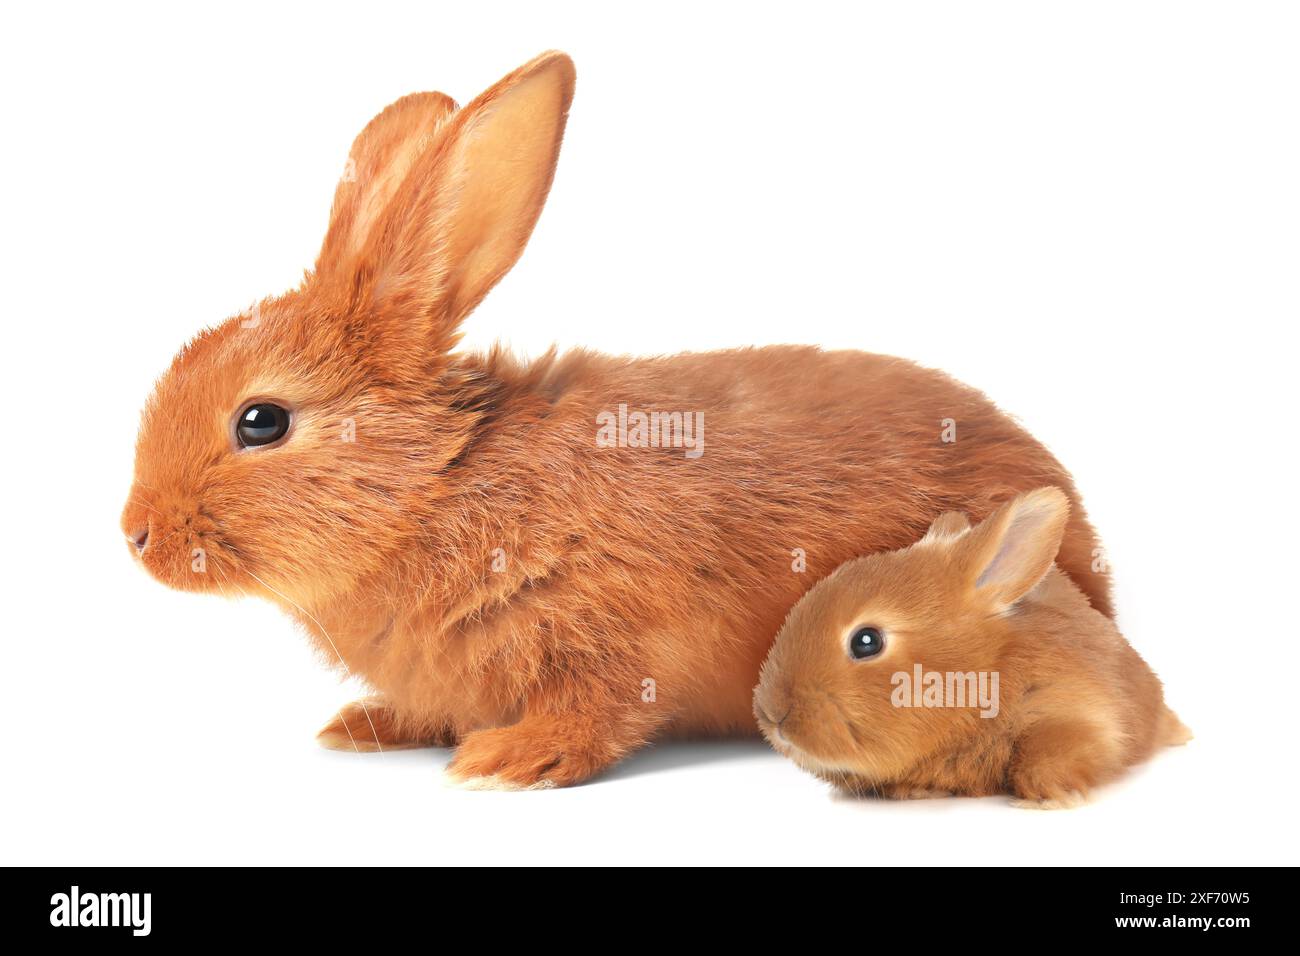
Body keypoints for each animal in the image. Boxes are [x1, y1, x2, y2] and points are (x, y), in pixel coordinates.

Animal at [121, 51, 1115, 790]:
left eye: (261, 421)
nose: (136, 535)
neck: (439, 482)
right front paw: (369, 725)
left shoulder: (605, 628)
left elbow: (597, 710)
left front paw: (507, 760)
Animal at [753, 487, 1189, 808]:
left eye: (866, 641)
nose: (773, 713)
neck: (986, 674)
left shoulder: (1070, 710)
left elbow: (1050, 756)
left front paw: (1048, 800)